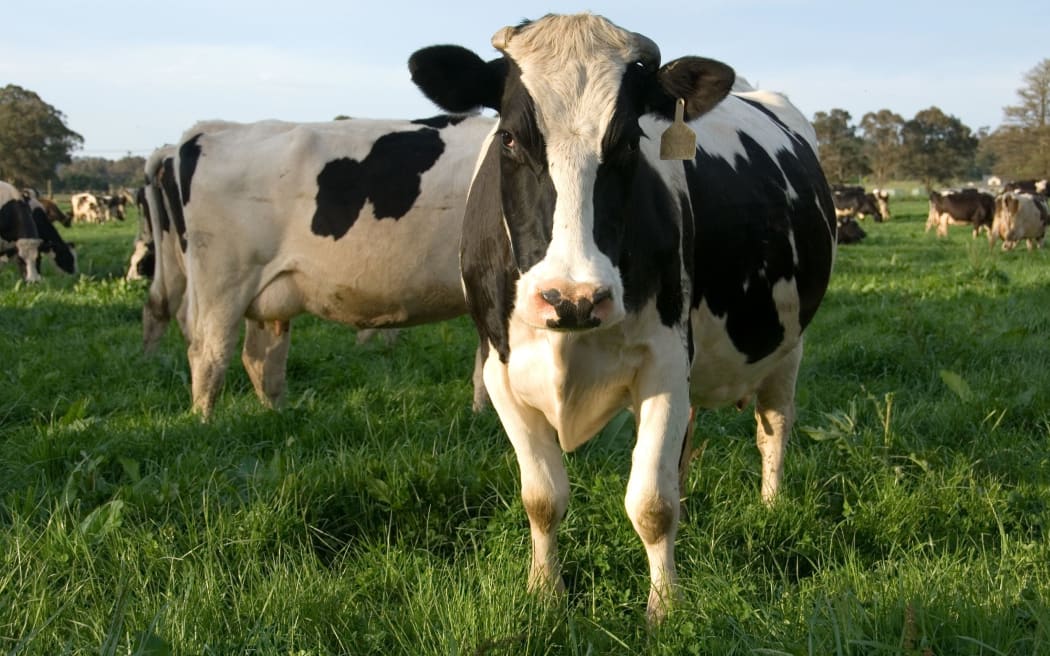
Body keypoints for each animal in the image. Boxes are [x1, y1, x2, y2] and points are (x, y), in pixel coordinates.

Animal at [155, 114, 495, 416]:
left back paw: (278, 417)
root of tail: (213, 129)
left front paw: (479, 416)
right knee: (209, 356)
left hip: (263, 296)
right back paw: (205, 423)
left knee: (261, 360)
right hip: (223, 284)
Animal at [408, 12, 836, 621]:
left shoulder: (665, 363)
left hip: (787, 344)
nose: (573, 297)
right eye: (509, 138)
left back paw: (772, 508)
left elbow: (651, 504)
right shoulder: (500, 370)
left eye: (630, 140)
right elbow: (542, 497)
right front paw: (544, 593)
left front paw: (664, 608)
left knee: (773, 427)